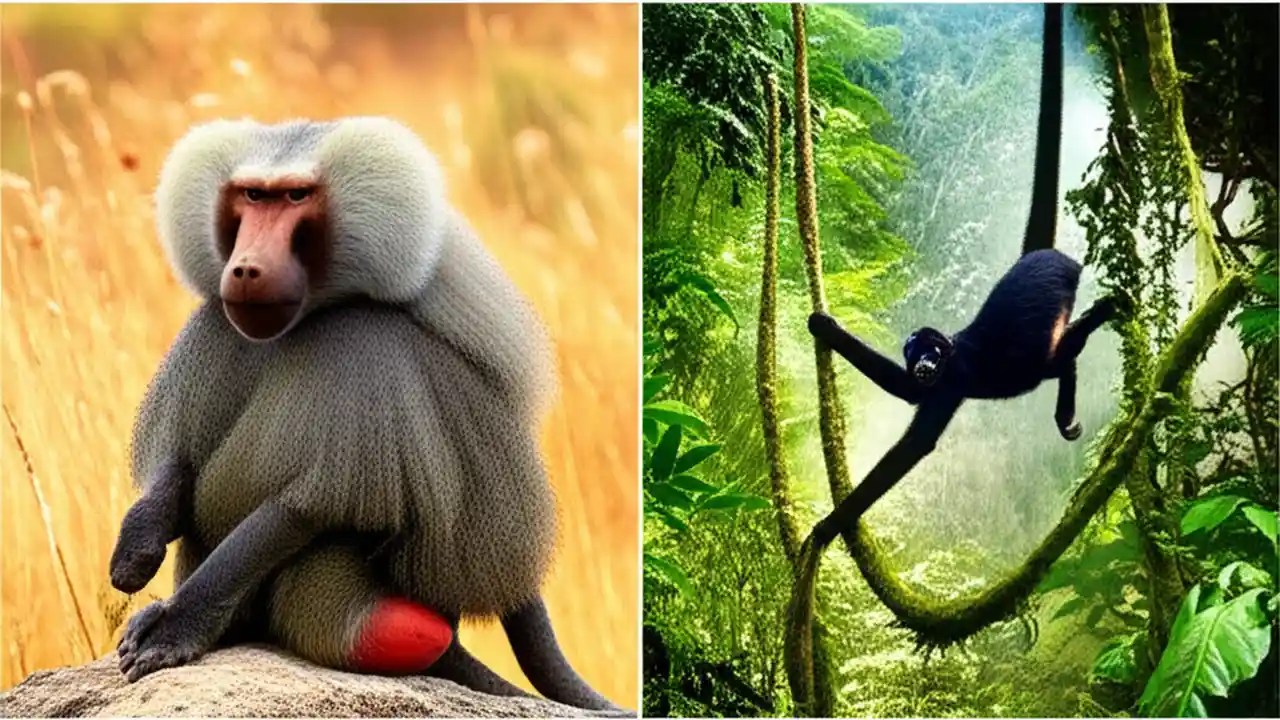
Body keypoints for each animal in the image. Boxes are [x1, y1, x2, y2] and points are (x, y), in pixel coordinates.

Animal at [106, 117, 622, 712]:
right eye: (252, 195)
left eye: (296, 197)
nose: (247, 269)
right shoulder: (217, 326)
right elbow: (178, 464)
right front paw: (136, 549)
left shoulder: (366, 352)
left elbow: (308, 505)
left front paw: (175, 627)